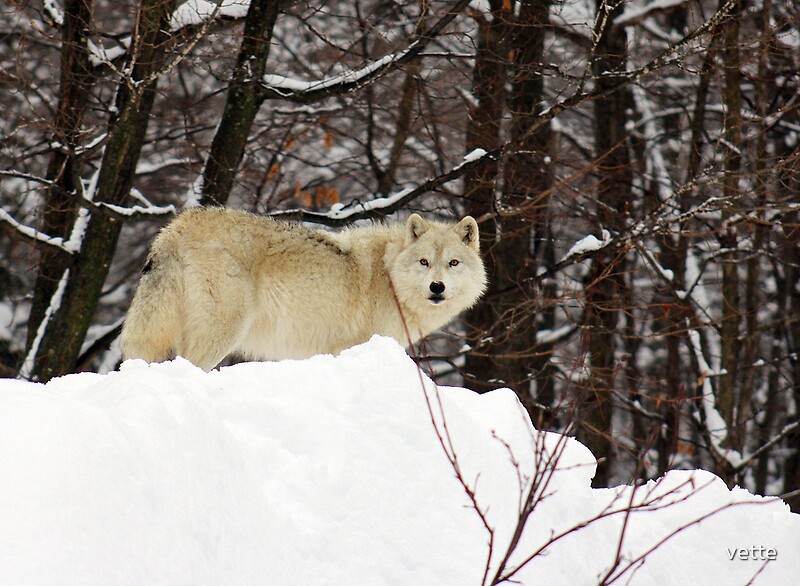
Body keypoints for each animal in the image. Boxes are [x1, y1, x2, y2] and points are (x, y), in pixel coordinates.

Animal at [120, 208, 487, 370]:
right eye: (424, 262)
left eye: (453, 263)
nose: (437, 287)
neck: (389, 275)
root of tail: (178, 225)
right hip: (221, 333)